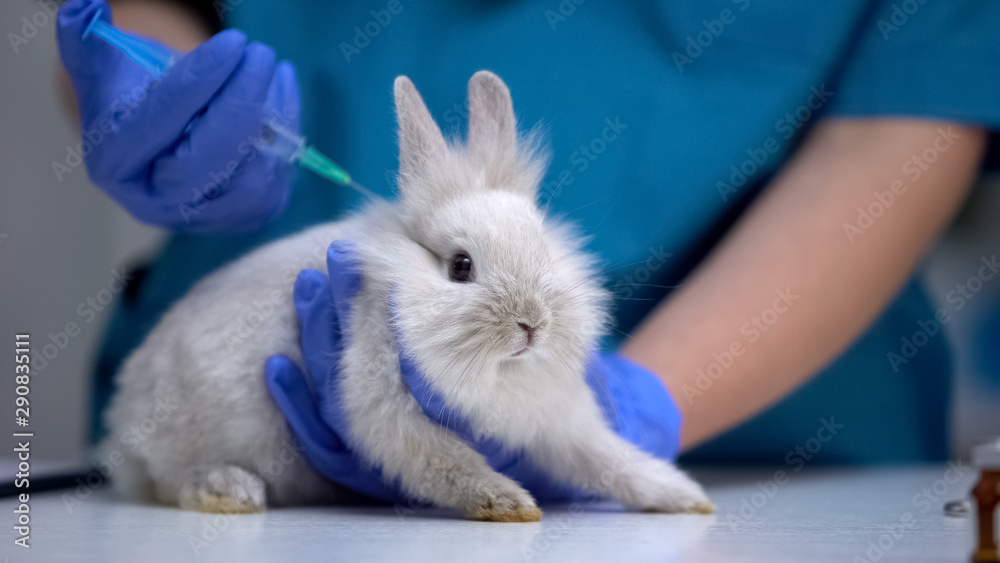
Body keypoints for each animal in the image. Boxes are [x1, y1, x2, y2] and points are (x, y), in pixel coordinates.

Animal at [101, 71, 714, 522]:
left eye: (541, 247)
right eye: (461, 266)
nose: (531, 324)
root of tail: (123, 419)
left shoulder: (560, 423)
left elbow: (612, 460)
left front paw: (685, 497)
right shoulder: (382, 403)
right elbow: (445, 461)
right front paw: (510, 504)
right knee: (171, 483)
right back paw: (229, 491)